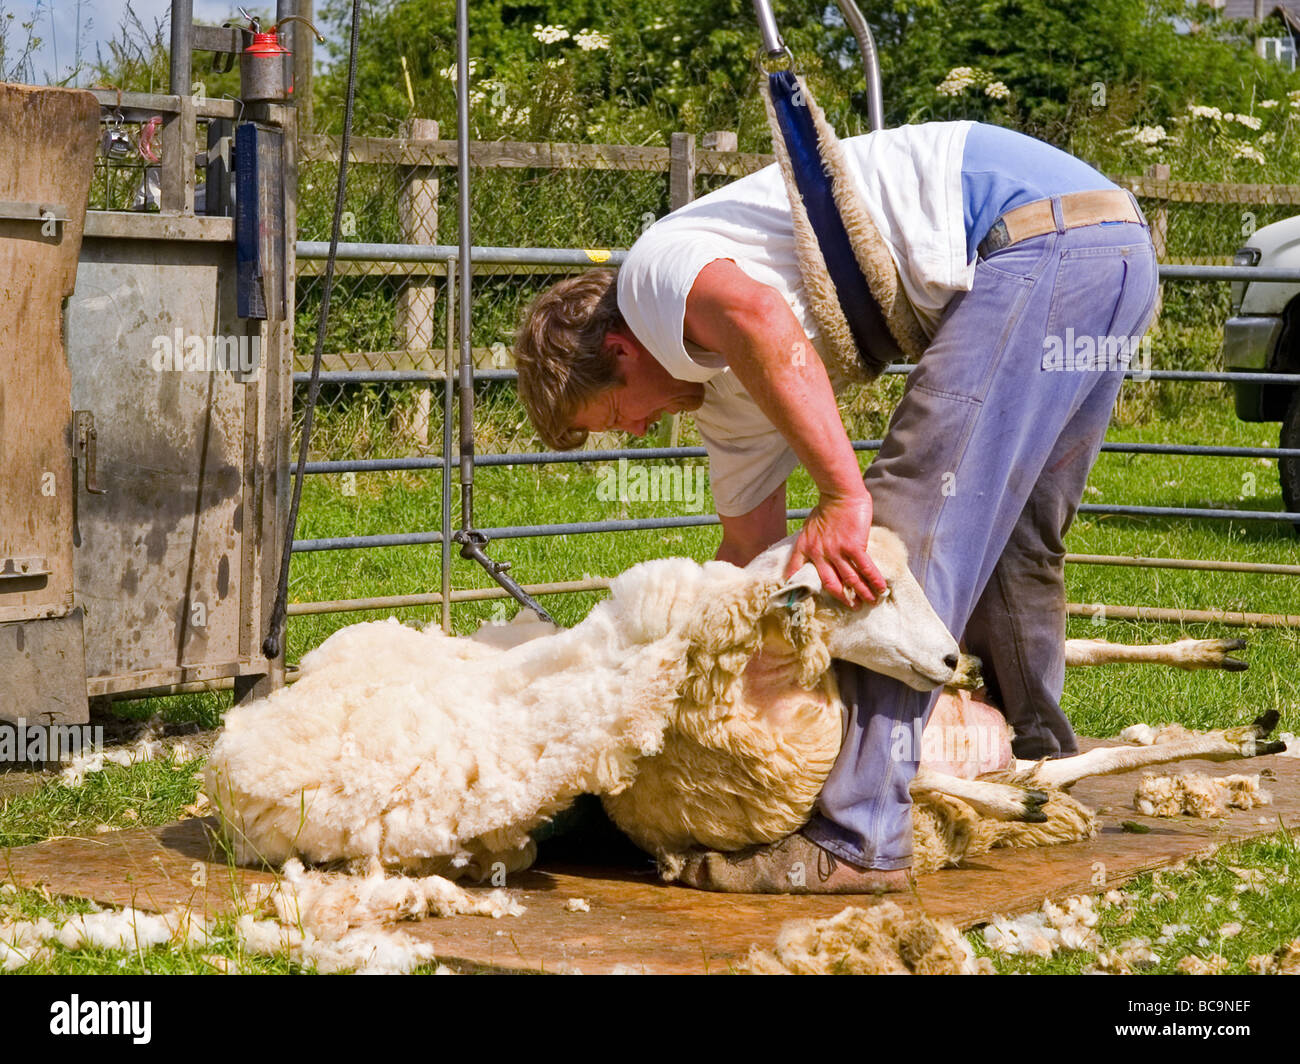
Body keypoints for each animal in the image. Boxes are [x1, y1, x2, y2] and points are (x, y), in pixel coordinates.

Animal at [206, 525, 1284, 884]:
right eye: (861, 588)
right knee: (1067, 743)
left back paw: (1218, 665)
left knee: (1072, 672)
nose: (941, 656)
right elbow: (983, 777)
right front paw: (1017, 801)